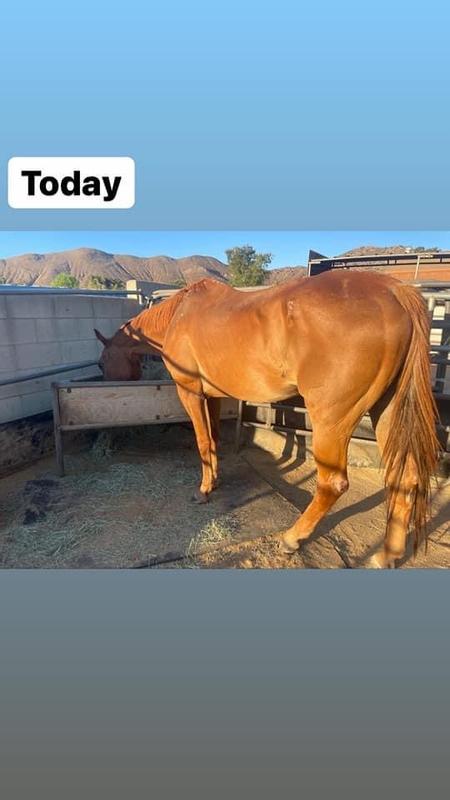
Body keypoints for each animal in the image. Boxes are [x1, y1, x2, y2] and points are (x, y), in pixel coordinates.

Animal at [94, 269, 440, 568]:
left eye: (101, 361)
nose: (103, 382)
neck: (180, 315)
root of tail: (394, 291)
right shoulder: (214, 396)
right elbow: (214, 438)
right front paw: (215, 480)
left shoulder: (190, 392)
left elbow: (203, 441)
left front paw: (203, 491)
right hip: (387, 410)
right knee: (404, 477)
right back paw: (387, 555)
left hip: (332, 422)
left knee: (332, 483)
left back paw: (291, 538)